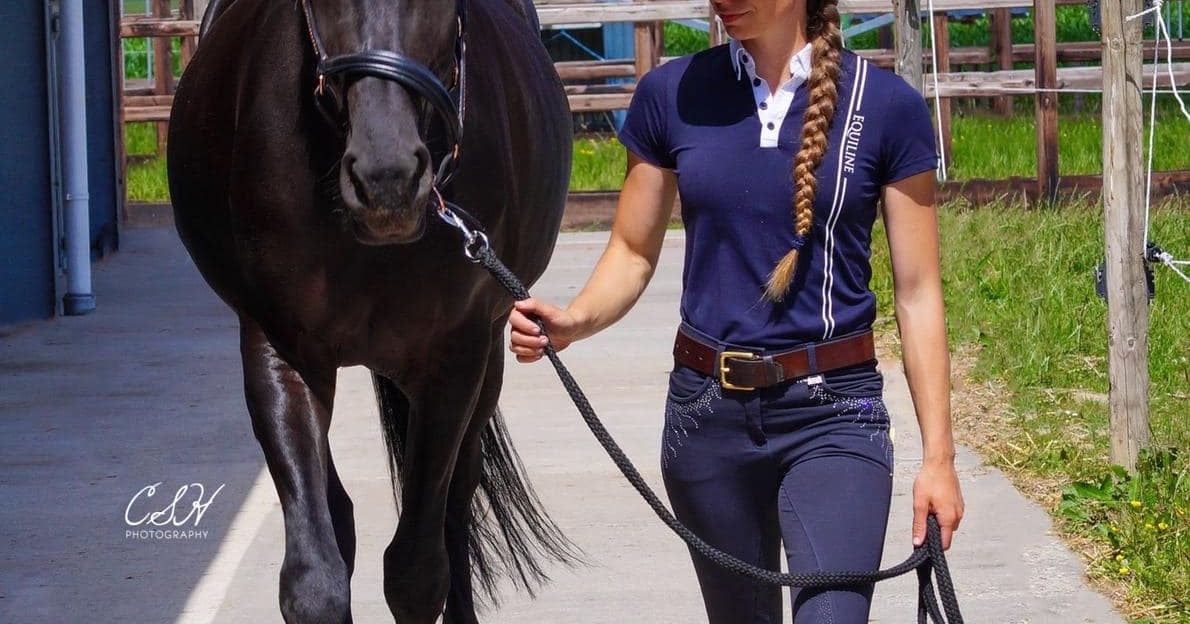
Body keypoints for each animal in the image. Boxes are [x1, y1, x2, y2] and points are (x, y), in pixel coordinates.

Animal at [167, 0, 575, 621]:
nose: (387, 180)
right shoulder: (279, 346)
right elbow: (315, 579)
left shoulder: (455, 357)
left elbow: (417, 571)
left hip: (487, 365)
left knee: (456, 505)